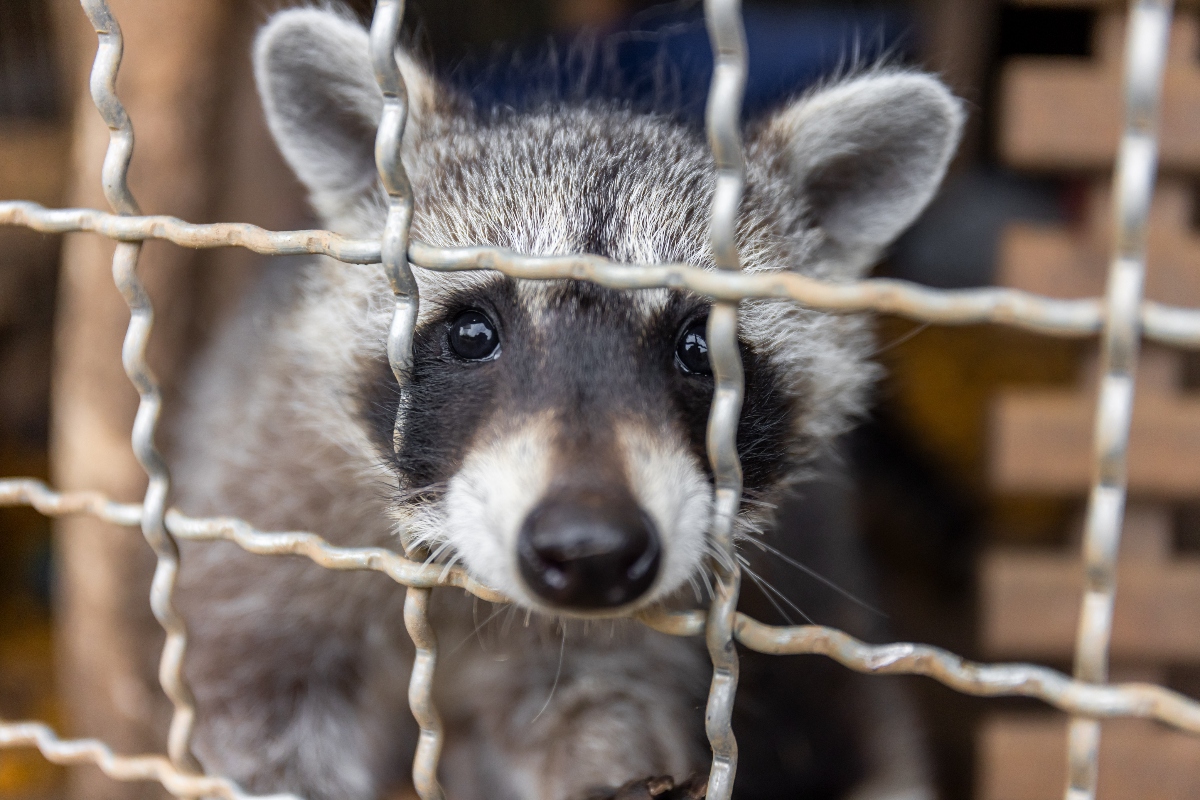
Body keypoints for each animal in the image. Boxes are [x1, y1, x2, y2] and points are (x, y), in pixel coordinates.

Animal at [171, 7, 962, 800]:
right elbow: (255, 692)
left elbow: (599, 705)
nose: (591, 550)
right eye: (471, 334)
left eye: (700, 350)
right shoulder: (268, 494)